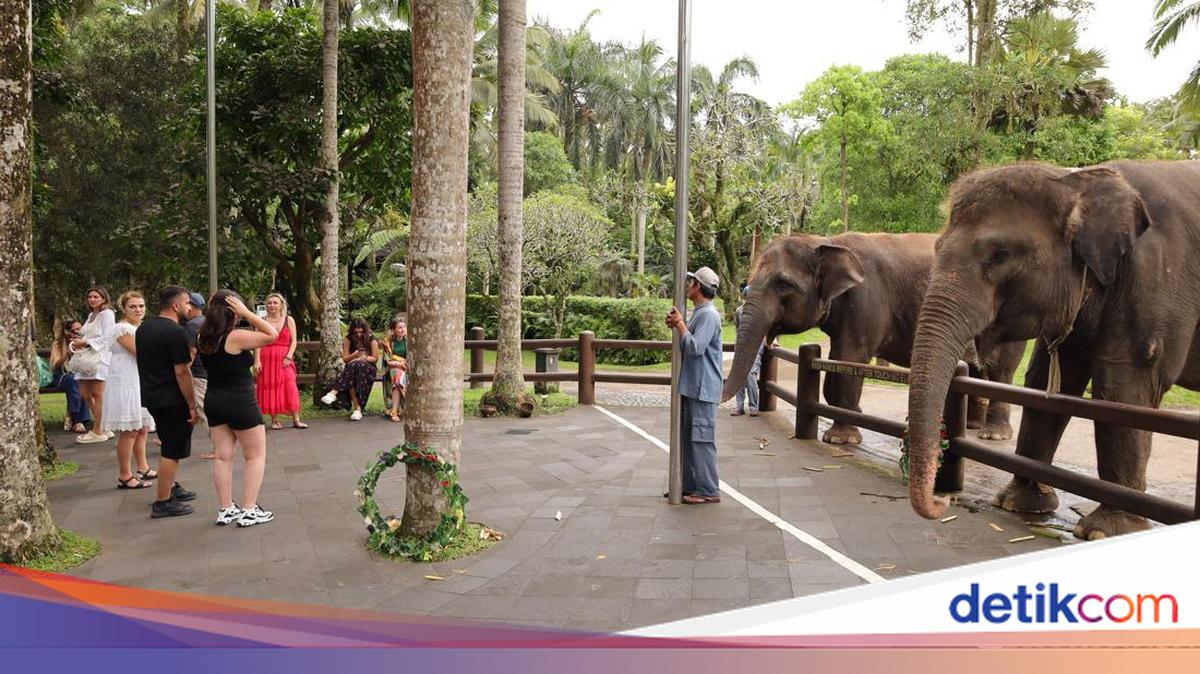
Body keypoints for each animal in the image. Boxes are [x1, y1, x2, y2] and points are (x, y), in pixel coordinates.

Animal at [723, 232, 1025, 445]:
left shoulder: (867, 300)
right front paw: (854, 415)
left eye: (784, 284)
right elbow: (835, 362)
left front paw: (840, 438)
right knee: (975, 369)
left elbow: (851, 358)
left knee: (1001, 371)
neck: (826, 242)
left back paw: (993, 434)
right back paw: (971, 426)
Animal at [904, 160, 1200, 540]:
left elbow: (1125, 386)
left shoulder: (1157, 280)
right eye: (937, 248)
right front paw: (1019, 504)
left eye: (998, 256)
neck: (1078, 181)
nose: (942, 501)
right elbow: (1047, 382)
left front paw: (1106, 531)